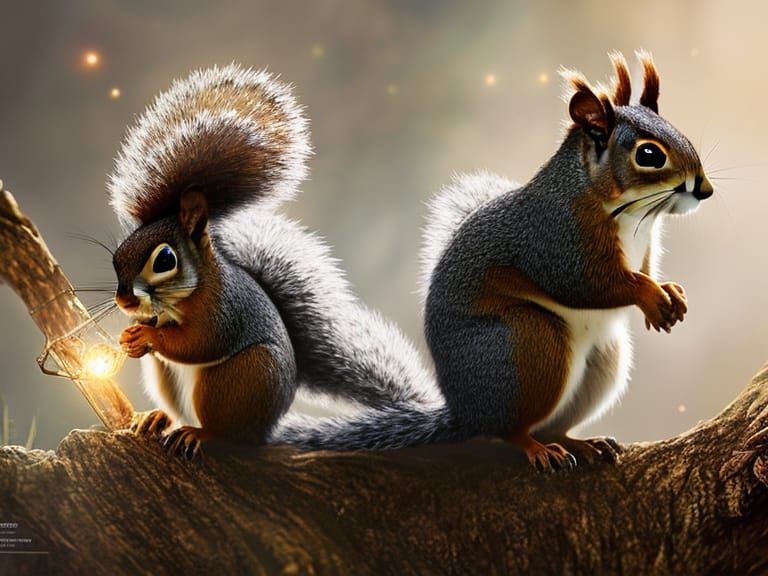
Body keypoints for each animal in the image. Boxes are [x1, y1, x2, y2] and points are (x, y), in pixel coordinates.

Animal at [109, 64, 437, 458]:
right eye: (117, 254)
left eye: (165, 260)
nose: (124, 301)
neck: (178, 299)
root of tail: (264, 430)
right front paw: (130, 336)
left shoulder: (223, 309)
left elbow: (197, 342)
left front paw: (148, 336)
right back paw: (158, 418)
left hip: (237, 380)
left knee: (227, 431)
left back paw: (200, 433)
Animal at [272, 52, 714, 472]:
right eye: (649, 154)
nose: (705, 190)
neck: (632, 214)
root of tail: (467, 414)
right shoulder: (555, 239)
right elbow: (589, 284)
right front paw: (650, 296)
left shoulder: (643, 247)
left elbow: (644, 271)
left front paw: (670, 292)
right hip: (528, 343)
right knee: (510, 429)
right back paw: (537, 449)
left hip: (602, 361)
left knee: (552, 424)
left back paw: (577, 443)